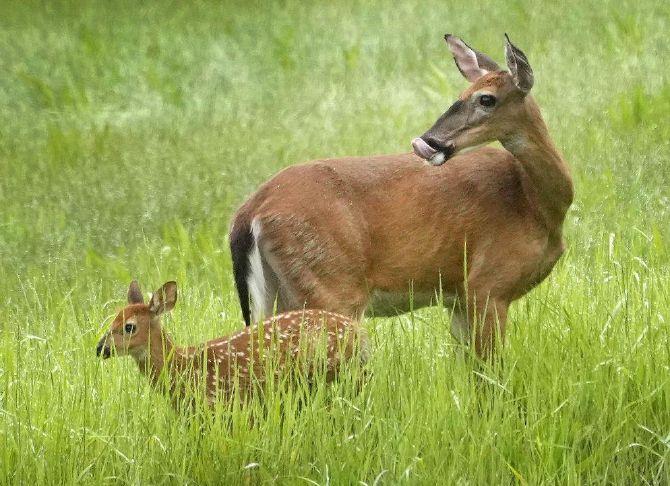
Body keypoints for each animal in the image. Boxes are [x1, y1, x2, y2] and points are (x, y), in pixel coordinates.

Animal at [229, 34, 573, 358]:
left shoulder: (458, 298)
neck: (535, 204)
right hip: (331, 287)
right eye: (460, 96)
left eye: (485, 98)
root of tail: (249, 214)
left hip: (274, 297)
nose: (427, 142)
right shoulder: (487, 285)